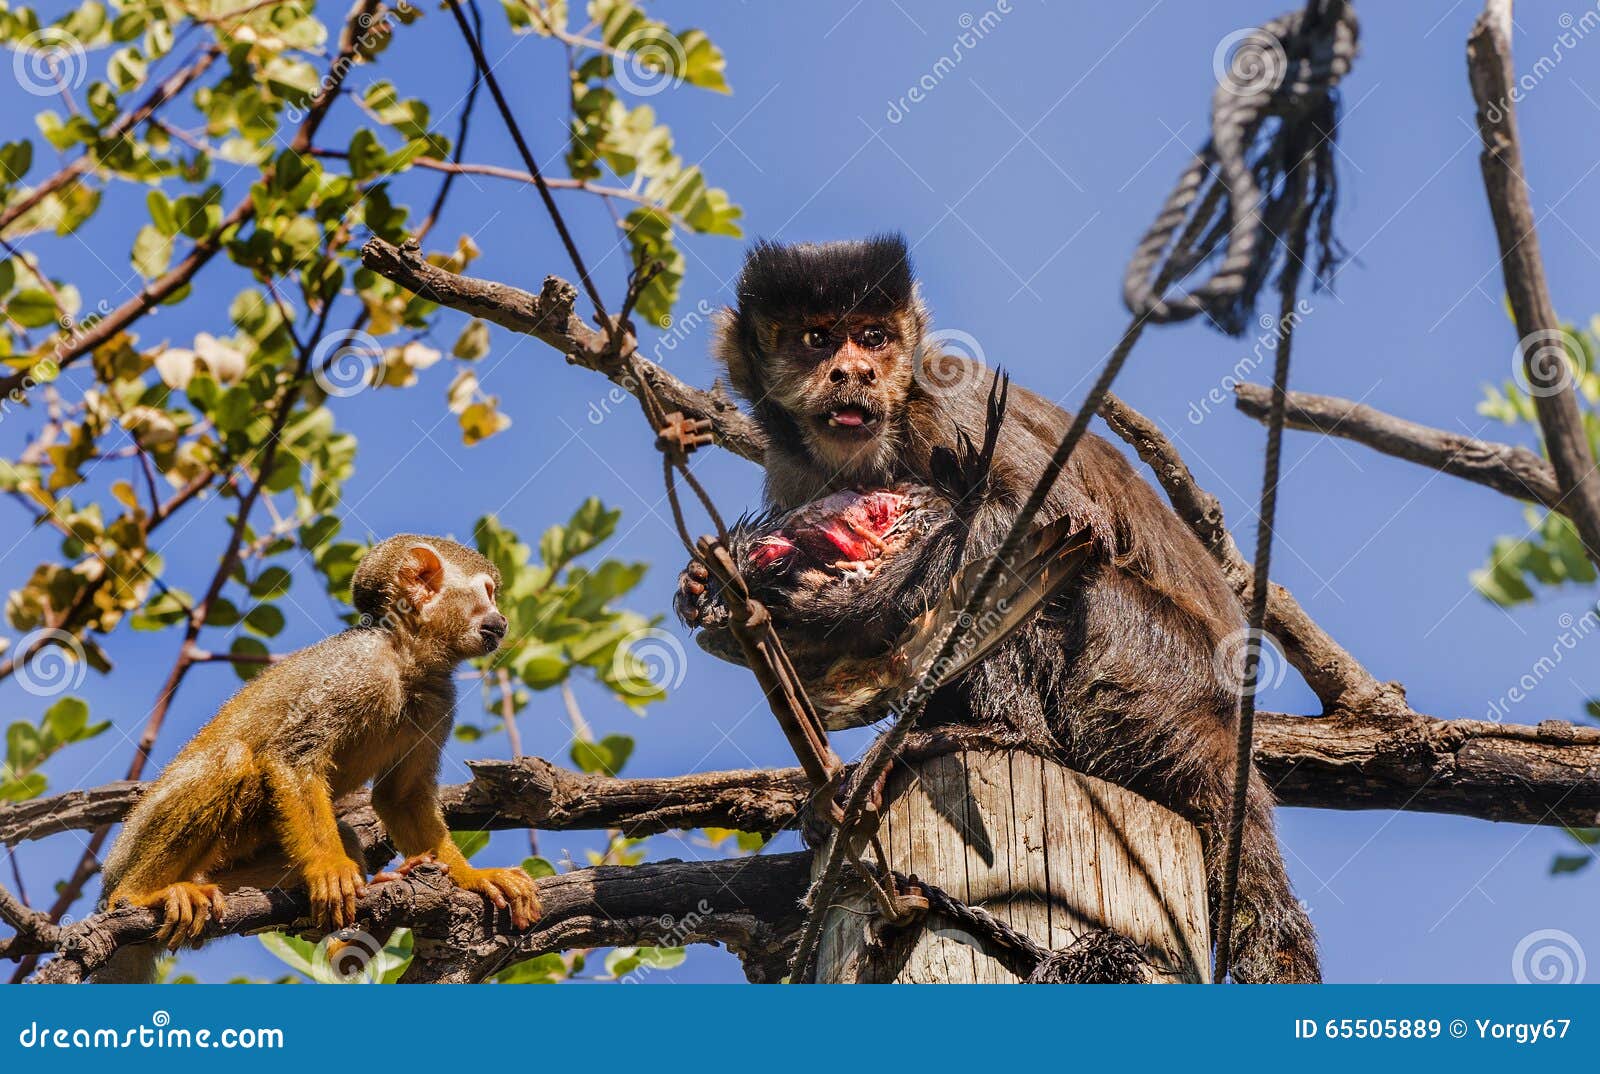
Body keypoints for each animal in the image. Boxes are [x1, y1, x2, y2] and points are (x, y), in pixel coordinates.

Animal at [93, 534, 541, 982]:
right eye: (488, 592)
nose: (501, 620)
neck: (403, 658)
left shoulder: (440, 699)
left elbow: (402, 798)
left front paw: (474, 878)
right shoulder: (356, 670)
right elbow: (293, 757)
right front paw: (328, 867)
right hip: (125, 854)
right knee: (230, 759)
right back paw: (142, 894)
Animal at [676, 234, 1320, 984]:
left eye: (873, 337)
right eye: (818, 339)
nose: (853, 371)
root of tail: (1224, 734)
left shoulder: (945, 406)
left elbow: (1058, 522)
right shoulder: (794, 469)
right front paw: (726, 587)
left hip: (1157, 679)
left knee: (1082, 579)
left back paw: (1004, 733)